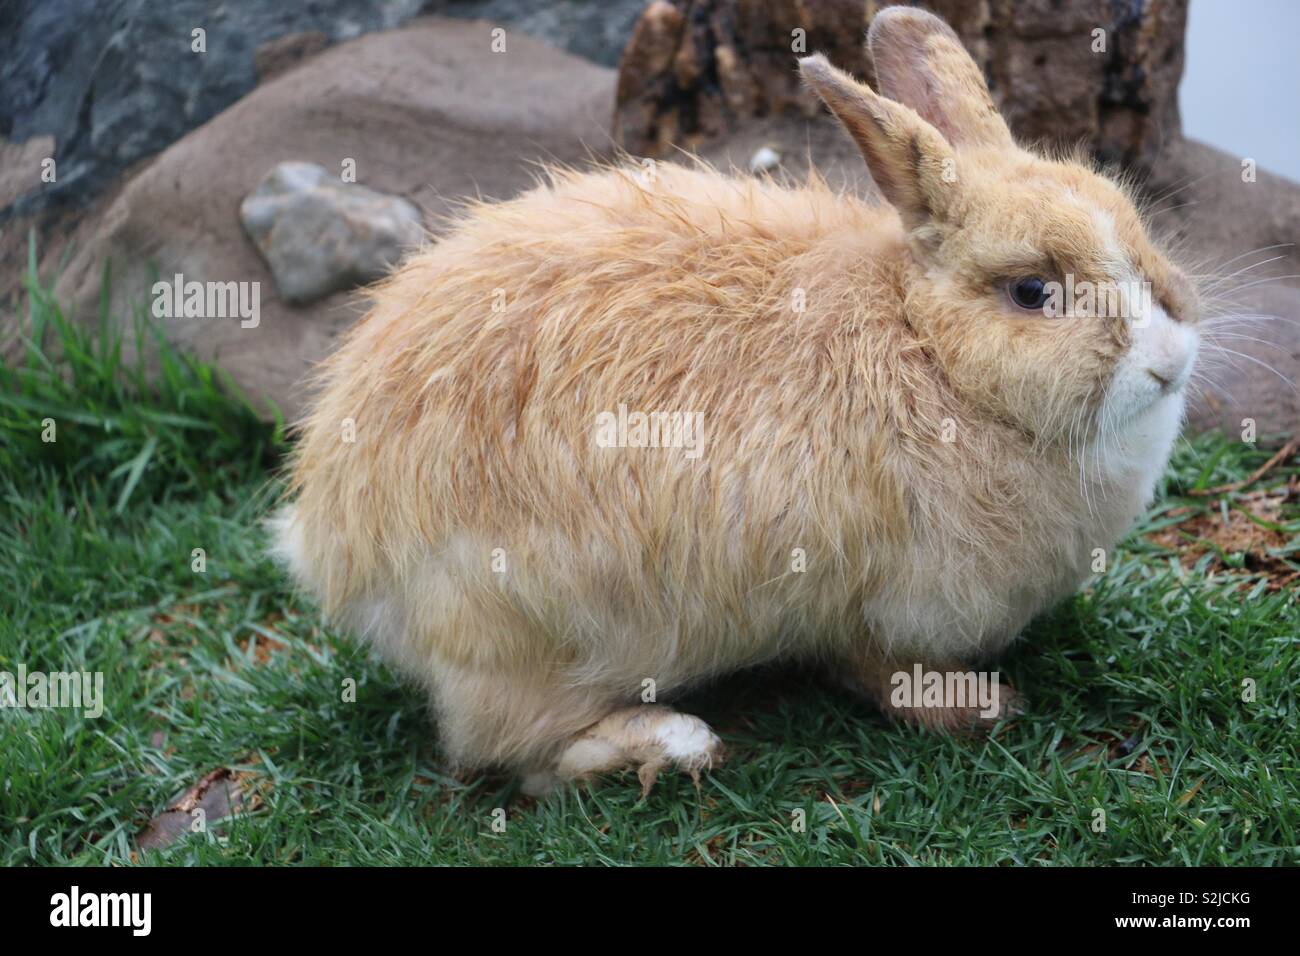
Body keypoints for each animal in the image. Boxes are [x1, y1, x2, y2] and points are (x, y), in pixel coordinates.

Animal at [271, 6, 1200, 795]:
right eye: (1033, 292)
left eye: (1137, 231)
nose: (1171, 359)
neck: (930, 350)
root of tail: (333, 543)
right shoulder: (886, 606)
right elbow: (887, 671)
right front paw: (979, 708)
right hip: (521, 637)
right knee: (517, 753)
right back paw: (675, 741)